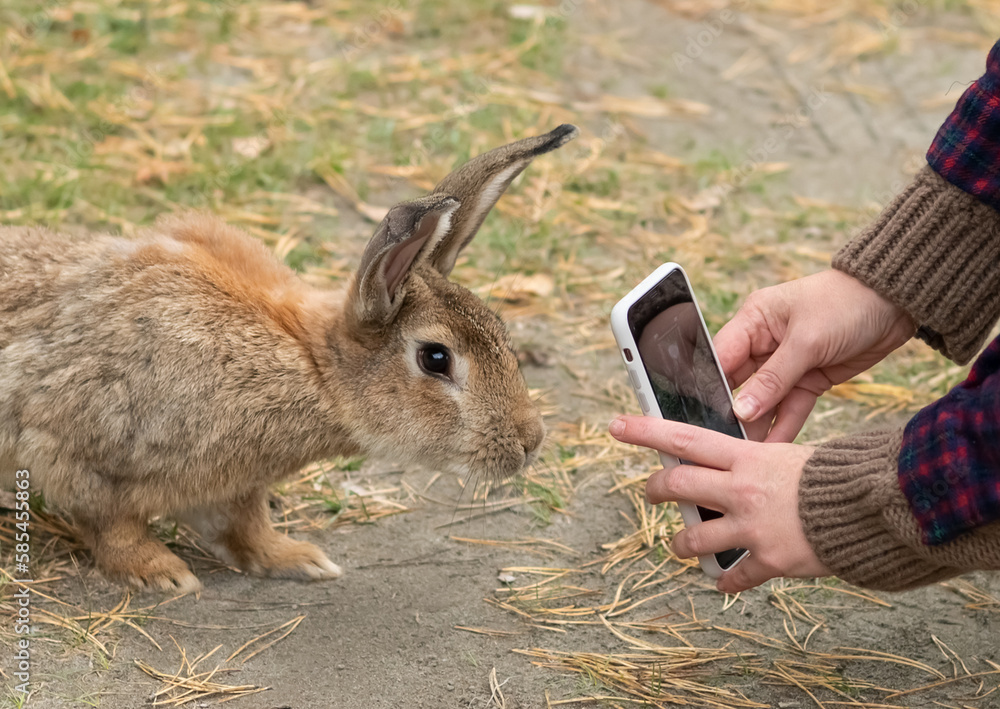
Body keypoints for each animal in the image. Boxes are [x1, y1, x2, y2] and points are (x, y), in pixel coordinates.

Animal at [0, 124, 579, 594]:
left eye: (501, 330)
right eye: (436, 358)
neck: (314, 369)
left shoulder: (232, 484)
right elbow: (112, 527)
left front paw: (297, 560)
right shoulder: (86, 455)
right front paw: (162, 574)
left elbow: (244, 528)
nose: (531, 442)